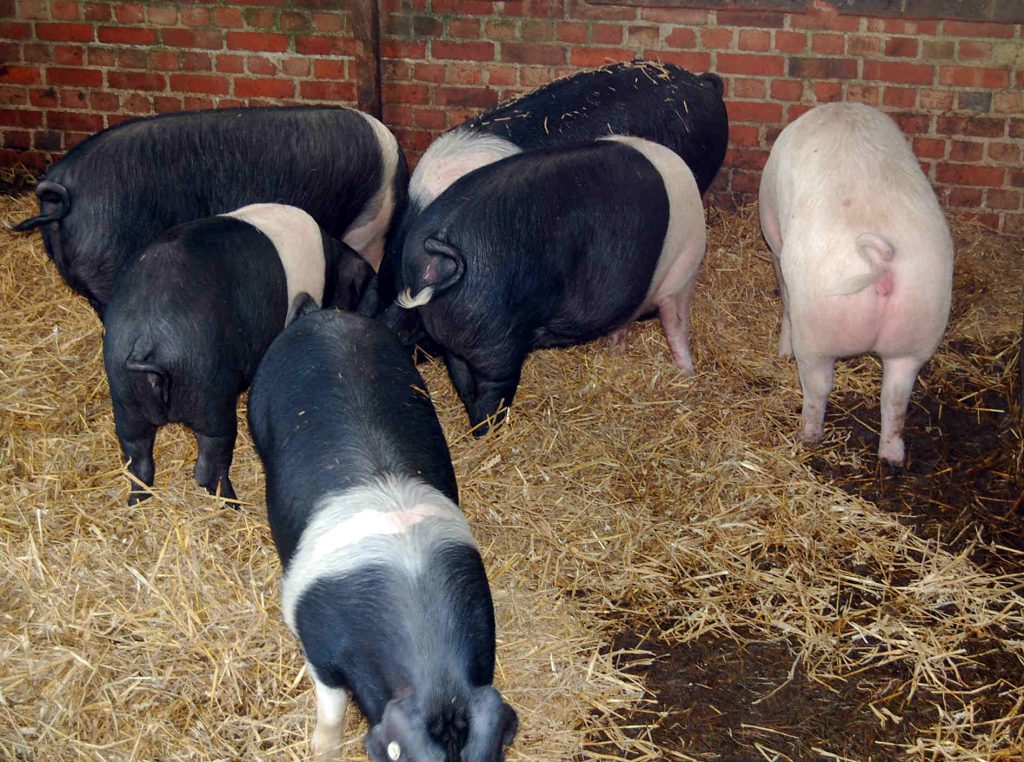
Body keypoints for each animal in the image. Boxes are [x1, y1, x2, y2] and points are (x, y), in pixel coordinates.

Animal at [103, 203, 373, 504]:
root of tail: (148, 341)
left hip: (124, 394)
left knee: (137, 458)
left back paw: (136, 501)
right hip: (209, 390)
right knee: (210, 458)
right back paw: (233, 502)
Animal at [396, 136, 707, 434]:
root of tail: (439, 246)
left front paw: (617, 354)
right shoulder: (680, 277)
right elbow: (676, 327)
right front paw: (688, 374)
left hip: (457, 342)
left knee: (463, 383)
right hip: (496, 342)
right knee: (491, 396)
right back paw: (489, 432)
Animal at [758, 102, 954, 465]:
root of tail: (880, 263)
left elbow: (785, 300)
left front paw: (782, 352)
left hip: (818, 330)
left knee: (818, 387)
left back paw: (807, 437)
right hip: (920, 326)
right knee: (895, 397)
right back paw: (891, 457)